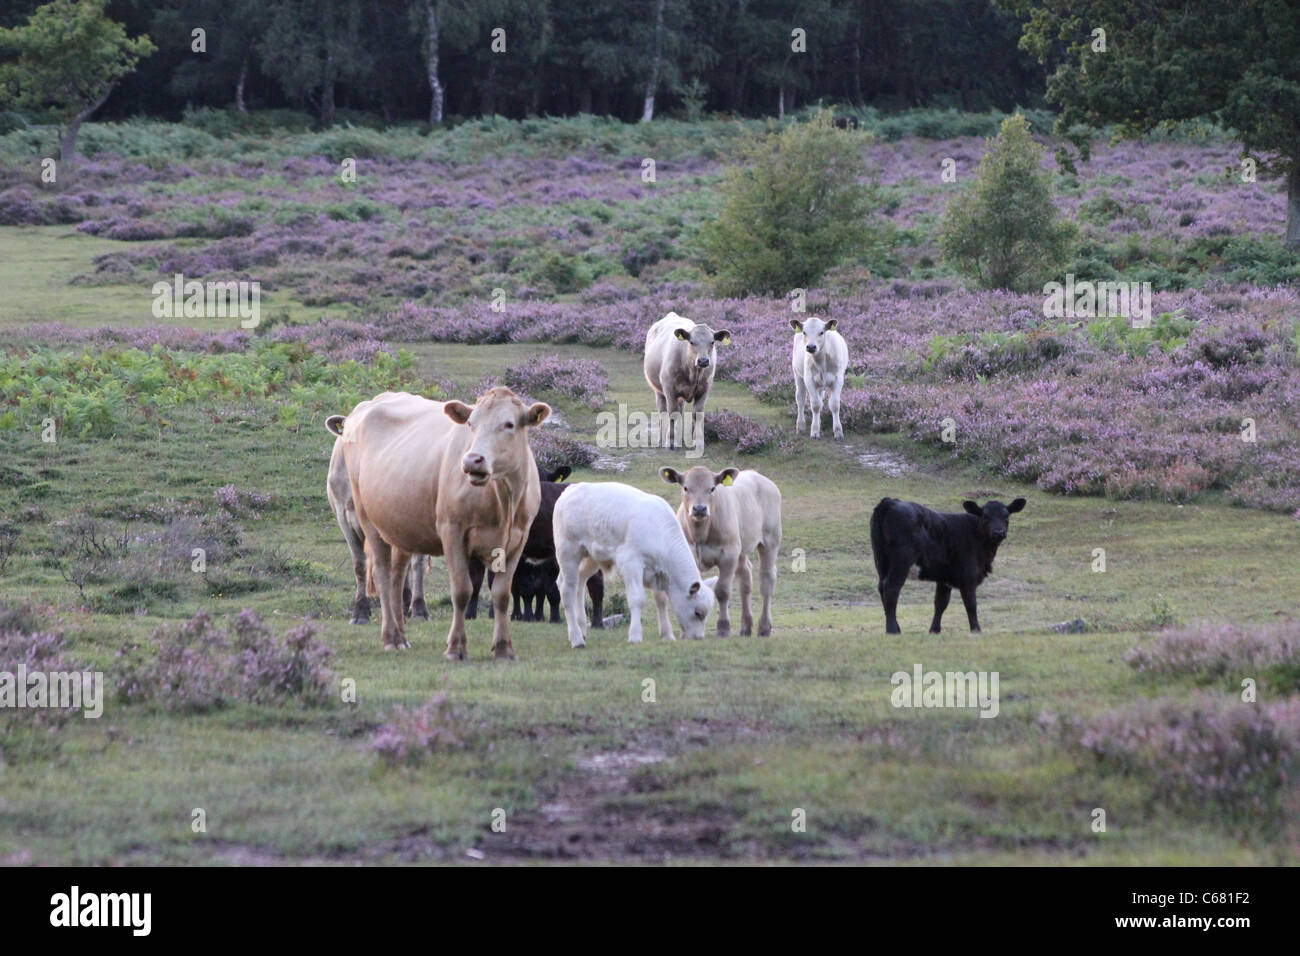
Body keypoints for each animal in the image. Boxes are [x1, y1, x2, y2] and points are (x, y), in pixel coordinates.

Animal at [464, 465, 605, 626]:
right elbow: (476, 582)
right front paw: (469, 614)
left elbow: (530, 588)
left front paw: (529, 616)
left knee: (596, 583)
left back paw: (597, 622)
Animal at [553, 481, 716, 648]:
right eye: (698, 612)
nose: (698, 637)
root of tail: (571, 488)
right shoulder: (631, 563)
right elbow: (637, 599)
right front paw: (635, 635)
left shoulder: (658, 572)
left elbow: (661, 600)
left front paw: (667, 634)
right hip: (567, 550)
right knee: (567, 589)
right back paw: (577, 638)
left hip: (591, 555)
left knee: (578, 582)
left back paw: (581, 629)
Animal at [644, 311, 731, 450]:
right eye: (691, 342)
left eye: (712, 342)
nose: (703, 361)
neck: (693, 372)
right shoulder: (669, 388)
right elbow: (672, 412)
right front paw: (670, 441)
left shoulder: (704, 389)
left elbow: (697, 413)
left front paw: (697, 441)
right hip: (658, 391)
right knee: (662, 411)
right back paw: (662, 439)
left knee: (680, 411)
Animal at [660, 465, 782, 637]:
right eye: (686, 488)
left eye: (712, 488)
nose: (699, 508)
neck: (700, 533)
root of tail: (759, 476)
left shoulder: (728, 555)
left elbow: (722, 591)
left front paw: (723, 628)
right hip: (740, 546)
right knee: (745, 578)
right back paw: (746, 627)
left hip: (770, 539)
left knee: (767, 580)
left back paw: (764, 627)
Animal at [869, 497, 1027, 634]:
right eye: (985, 516)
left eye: (1006, 516)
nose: (999, 532)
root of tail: (891, 501)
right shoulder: (968, 576)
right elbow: (971, 604)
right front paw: (976, 629)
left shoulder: (944, 578)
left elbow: (940, 603)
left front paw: (934, 630)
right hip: (901, 562)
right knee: (891, 588)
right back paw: (892, 630)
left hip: (881, 561)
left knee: (882, 588)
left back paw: (895, 627)